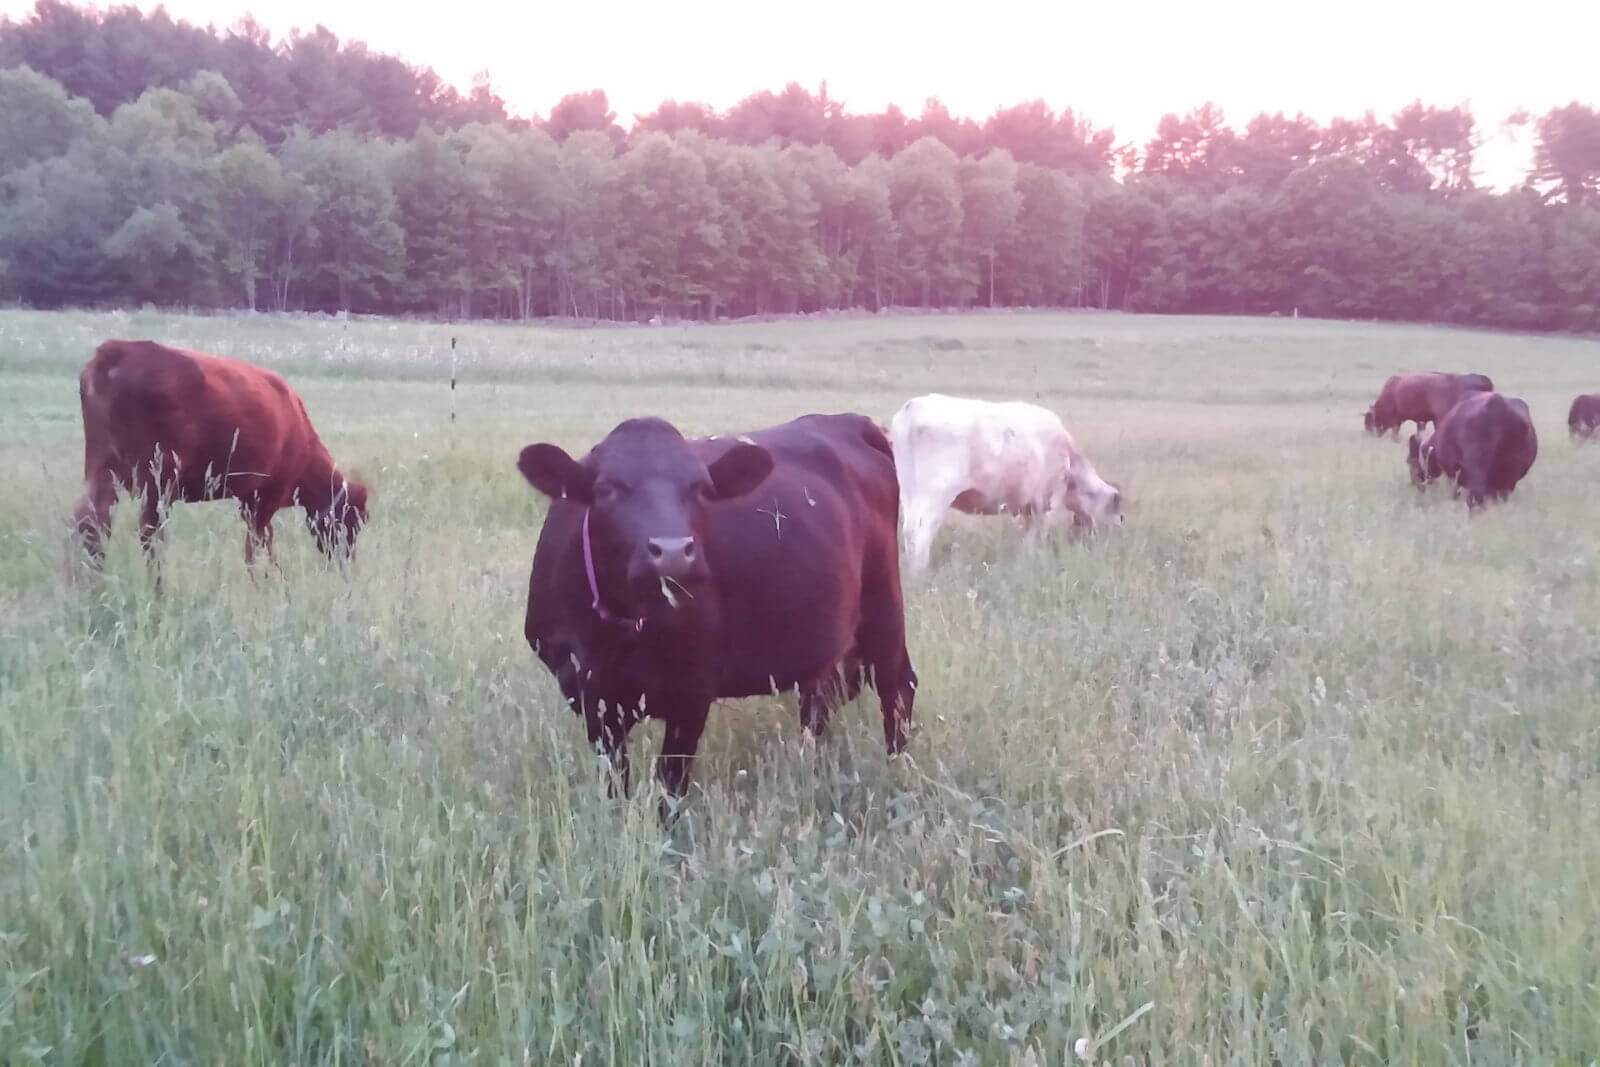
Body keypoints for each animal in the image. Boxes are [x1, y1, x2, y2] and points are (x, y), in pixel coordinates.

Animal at [72, 339, 369, 569]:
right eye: (352, 521)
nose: (347, 563)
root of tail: (118, 349)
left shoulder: (250, 498)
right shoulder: (268, 495)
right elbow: (256, 543)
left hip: (102, 472)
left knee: (90, 523)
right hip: (156, 482)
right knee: (149, 534)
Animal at [516, 412, 917, 822]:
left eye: (702, 489)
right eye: (606, 488)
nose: (672, 551)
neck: (627, 626)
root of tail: (847, 420)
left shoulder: (693, 691)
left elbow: (671, 784)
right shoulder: (587, 694)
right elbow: (614, 781)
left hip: (883, 605)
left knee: (897, 687)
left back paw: (896, 771)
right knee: (821, 698)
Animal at [887, 393, 1123, 574]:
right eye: (1119, 515)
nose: (1110, 543)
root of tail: (912, 408)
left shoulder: (1028, 506)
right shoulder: (1046, 501)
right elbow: (1037, 534)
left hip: (909, 490)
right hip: (935, 493)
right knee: (919, 531)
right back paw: (920, 572)